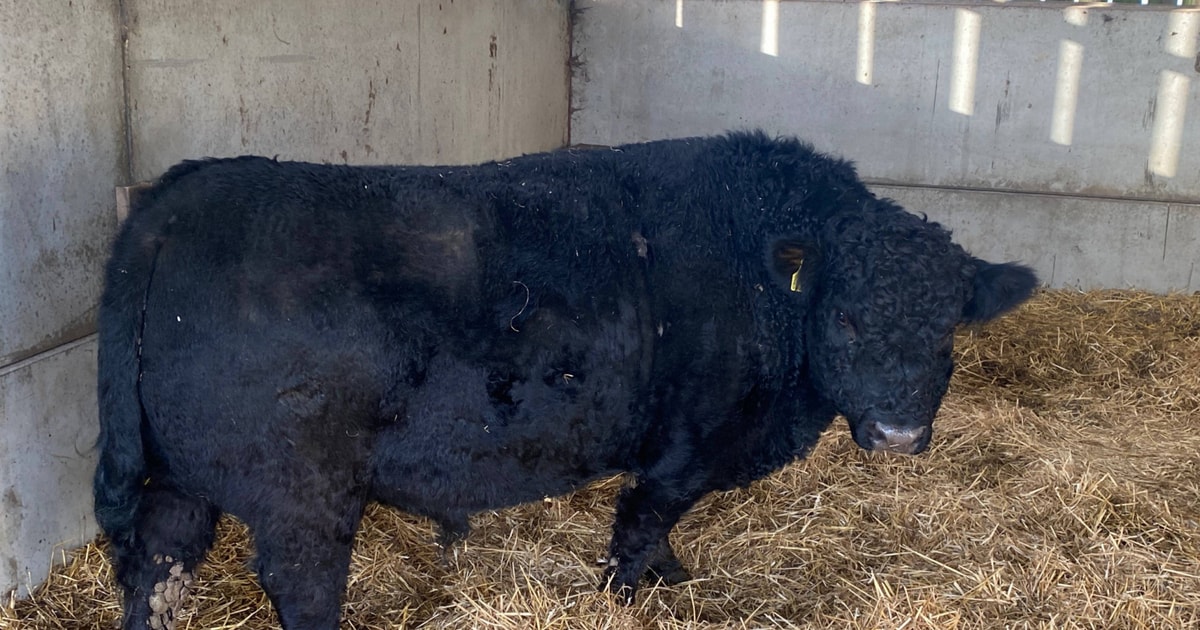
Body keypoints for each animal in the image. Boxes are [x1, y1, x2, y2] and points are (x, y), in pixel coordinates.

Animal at [94, 131, 1037, 629]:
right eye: (843, 316)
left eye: (949, 325)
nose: (899, 435)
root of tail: (177, 200)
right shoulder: (688, 444)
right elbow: (644, 519)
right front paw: (634, 589)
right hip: (304, 493)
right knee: (298, 582)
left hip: (177, 476)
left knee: (158, 568)